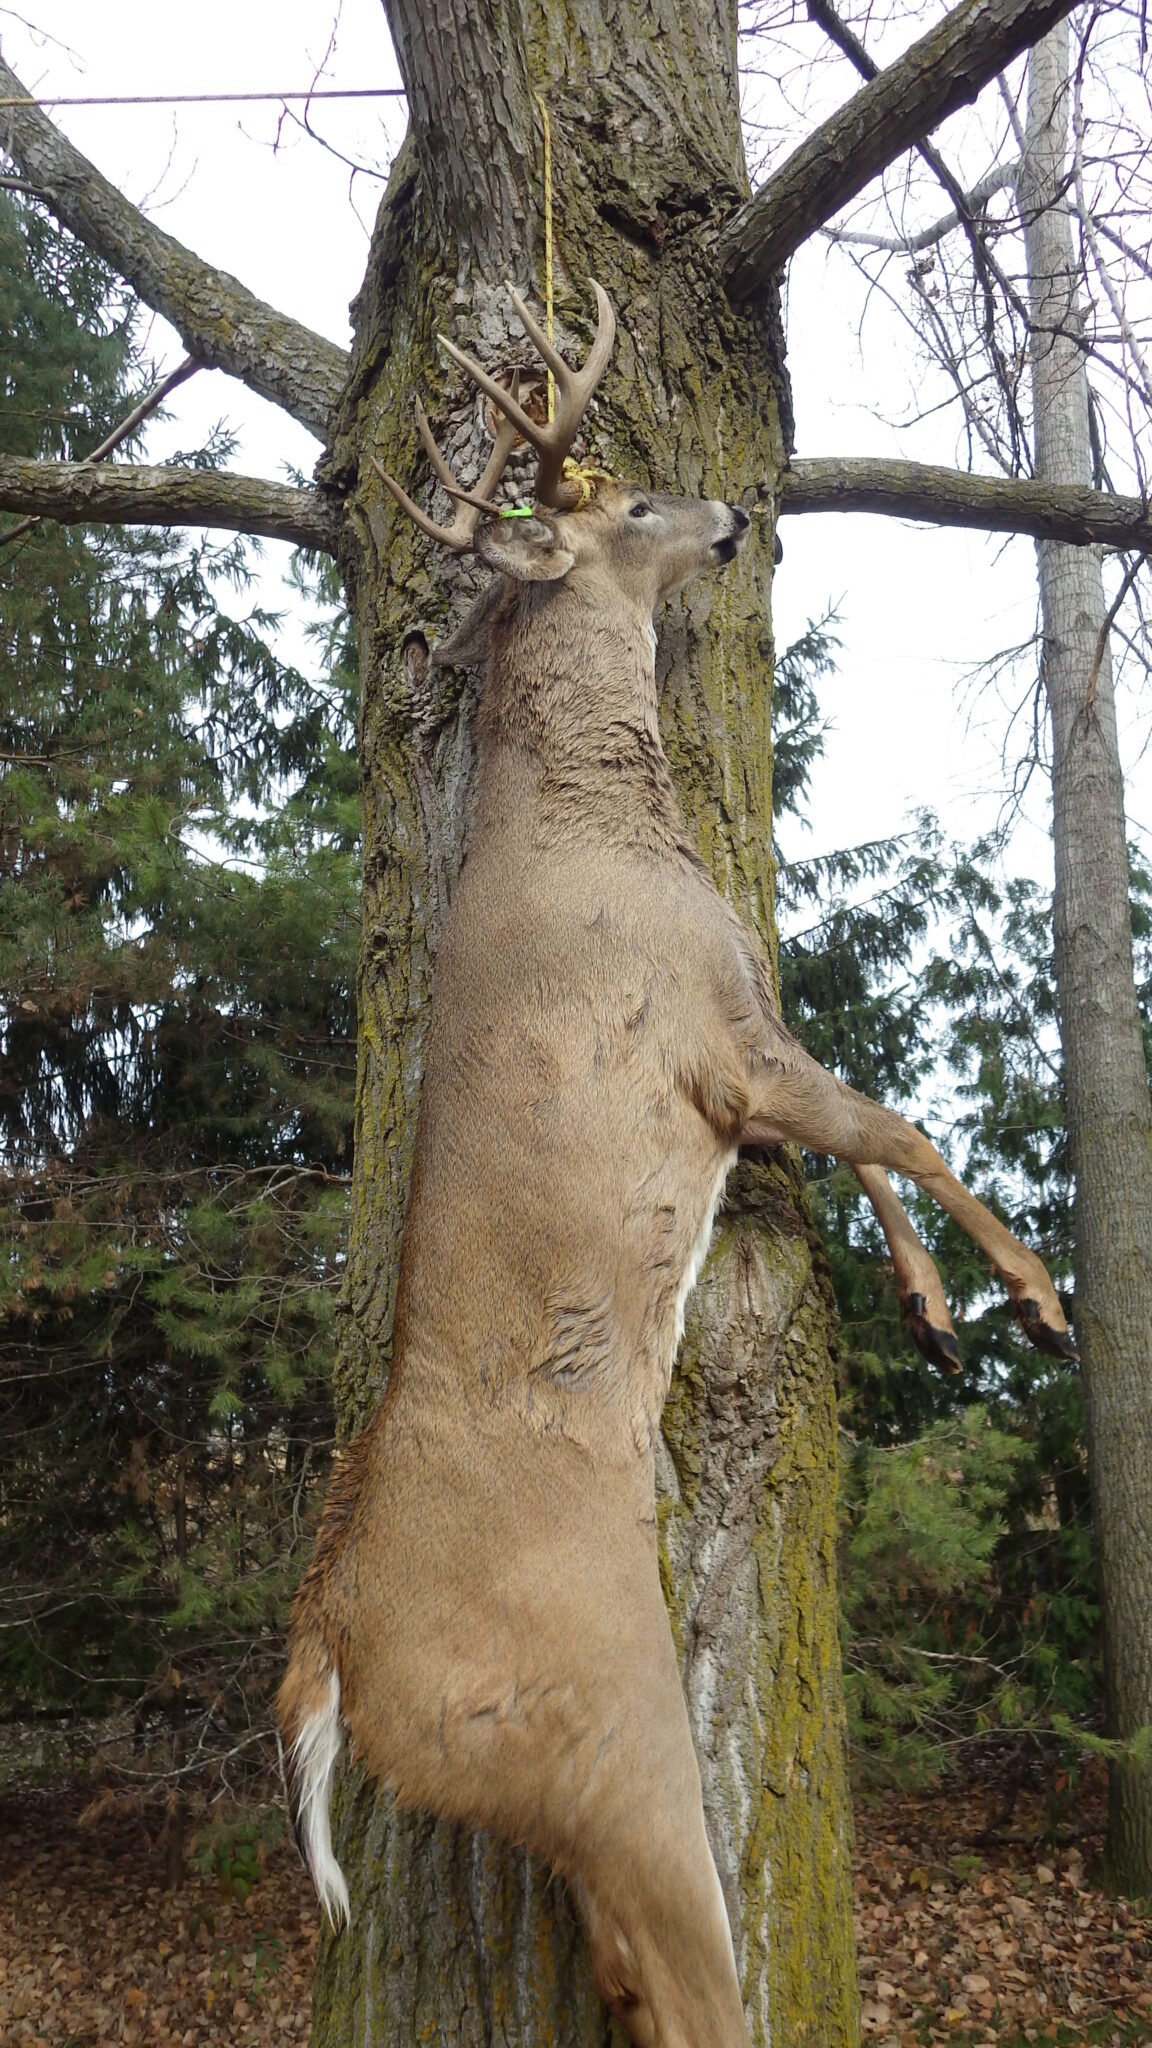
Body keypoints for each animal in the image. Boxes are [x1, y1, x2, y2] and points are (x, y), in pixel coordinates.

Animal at [279, 281, 1076, 2048]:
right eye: (632, 500)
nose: (731, 517)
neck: (595, 813)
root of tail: (331, 1655)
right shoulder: (717, 1032)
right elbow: (901, 1124)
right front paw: (1036, 1300)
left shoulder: (743, 1060)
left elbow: (856, 1151)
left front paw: (931, 1313)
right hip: (612, 1744)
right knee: (702, 1988)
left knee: (641, 1990)